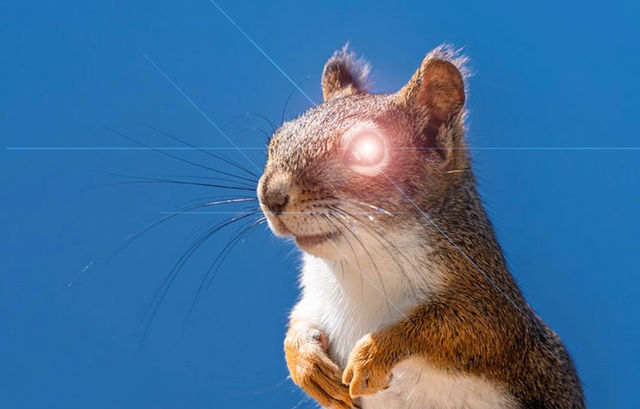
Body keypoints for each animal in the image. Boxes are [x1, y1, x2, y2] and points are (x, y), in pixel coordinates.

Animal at [257, 45, 585, 409]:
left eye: (367, 152)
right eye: (275, 140)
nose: (269, 196)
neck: (356, 262)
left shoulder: (496, 312)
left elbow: (460, 328)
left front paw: (372, 355)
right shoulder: (315, 300)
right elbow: (298, 320)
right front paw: (305, 362)